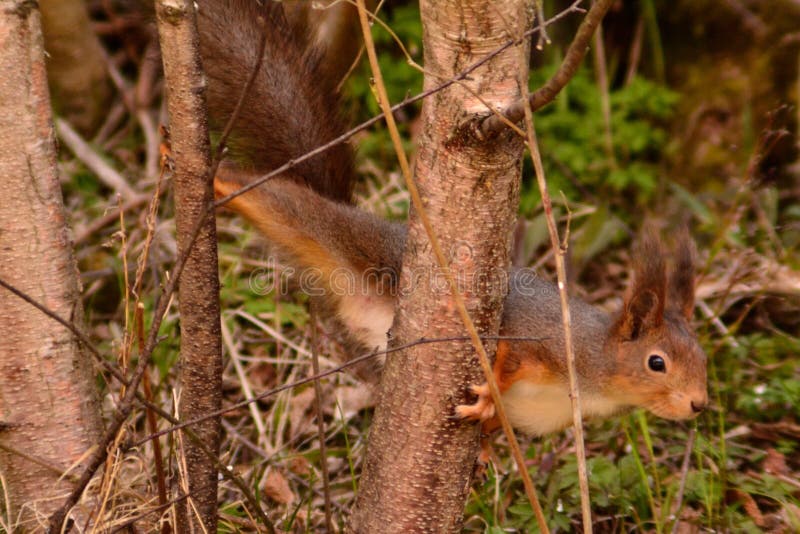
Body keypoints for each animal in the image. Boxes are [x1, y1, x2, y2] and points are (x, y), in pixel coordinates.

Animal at [197, 0, 708, 438]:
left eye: (703, 357)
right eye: (657, 362)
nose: (700, 404)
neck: (595, 366)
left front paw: (485, 446)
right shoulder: (539, 341)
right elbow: (504, 357)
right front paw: (489, 396)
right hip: (346, 235)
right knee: (279, 198)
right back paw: (219, 180)